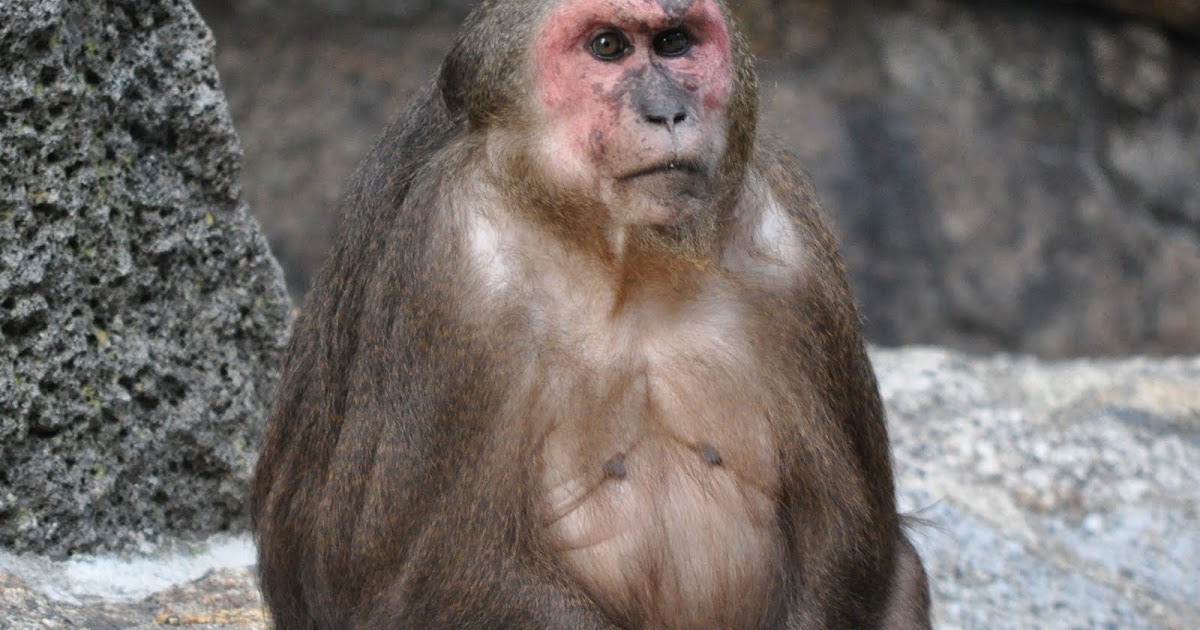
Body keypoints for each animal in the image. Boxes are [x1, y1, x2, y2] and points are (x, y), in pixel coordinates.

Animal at [250, 0, 931, 628]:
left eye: (674, 41)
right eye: (608, 46)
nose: (667, 111)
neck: (616, 252)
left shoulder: (788, 239)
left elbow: (849, 531)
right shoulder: (447, 261)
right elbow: (404, 575)